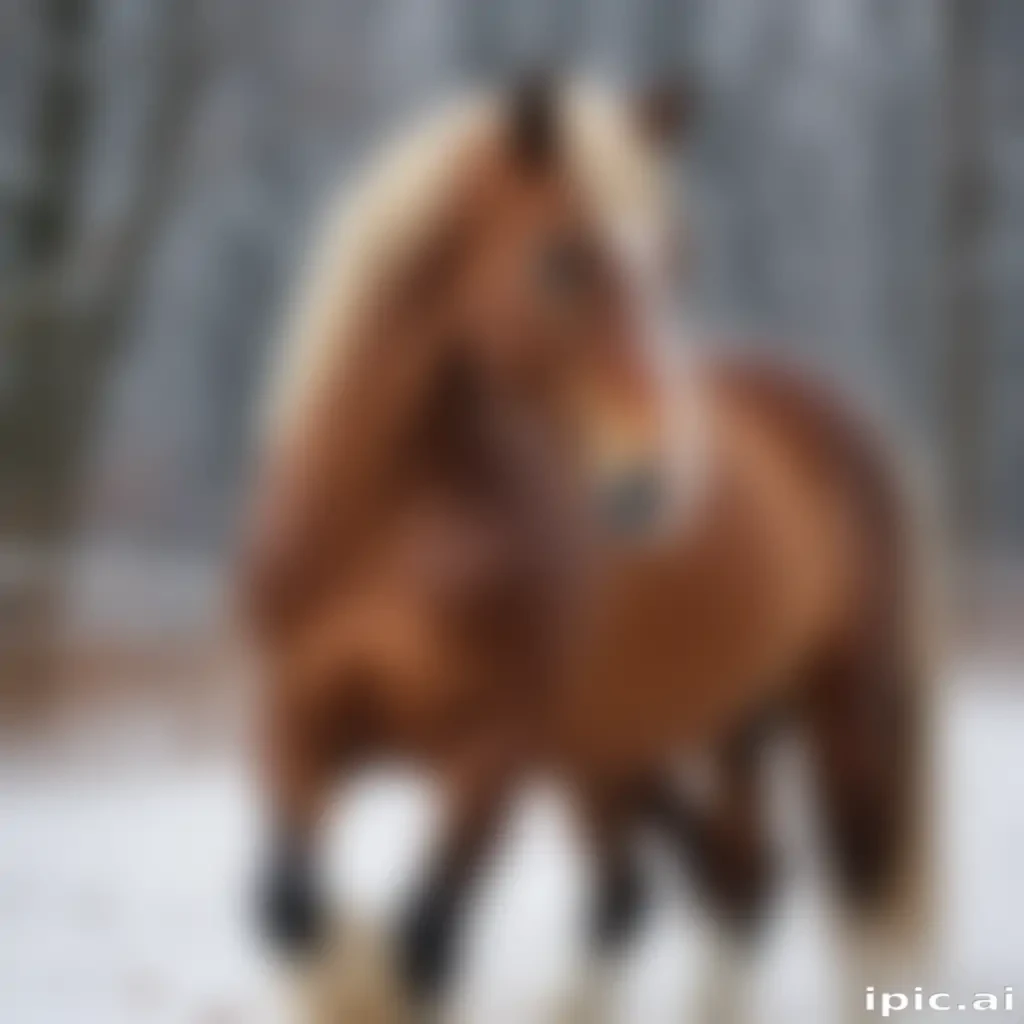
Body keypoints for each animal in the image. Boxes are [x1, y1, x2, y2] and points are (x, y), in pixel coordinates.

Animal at [239, 79, 936, 1022]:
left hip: (839, 710)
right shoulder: (297, 714)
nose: (655, 481)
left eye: (675, 261)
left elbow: (426, 942)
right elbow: (290, 909)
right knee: (710, 885)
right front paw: (346, 978)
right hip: (663, 740)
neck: (396, 526)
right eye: (561, 261)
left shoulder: (492, 749)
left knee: (831, 891)